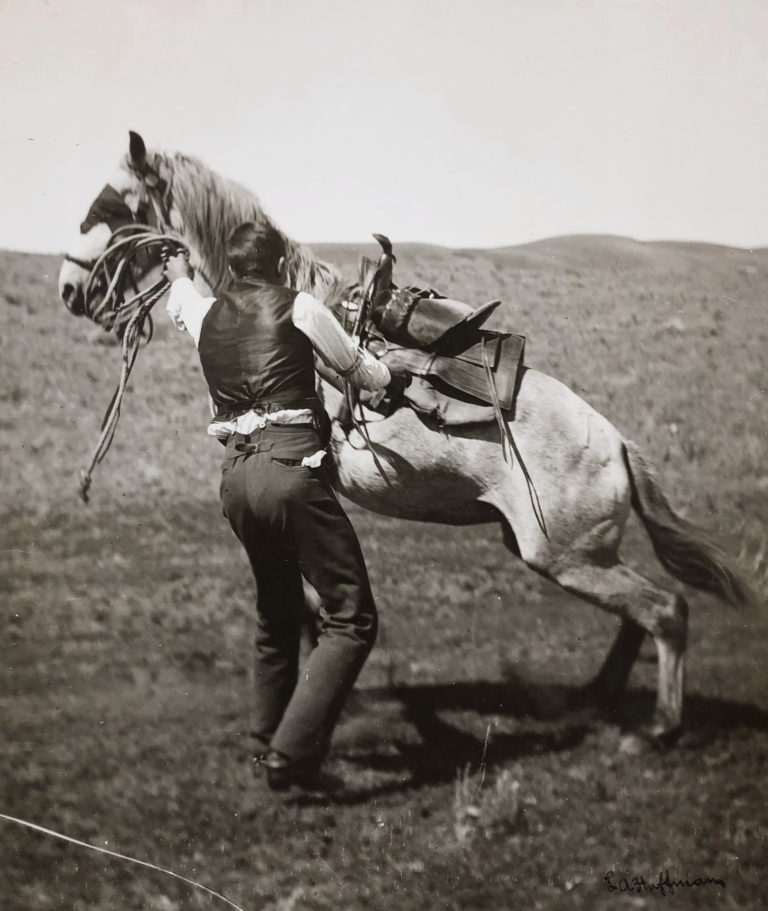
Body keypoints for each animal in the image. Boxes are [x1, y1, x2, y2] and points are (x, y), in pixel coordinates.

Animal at [58, 131, 756, 749]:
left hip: (567, 555)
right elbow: (305, 605)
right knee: (639, 618)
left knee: (665, 610)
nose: (69, 289)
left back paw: (657, 729)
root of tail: (617, 444)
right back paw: (592, 700)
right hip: (571, 555)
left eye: (114, 206)